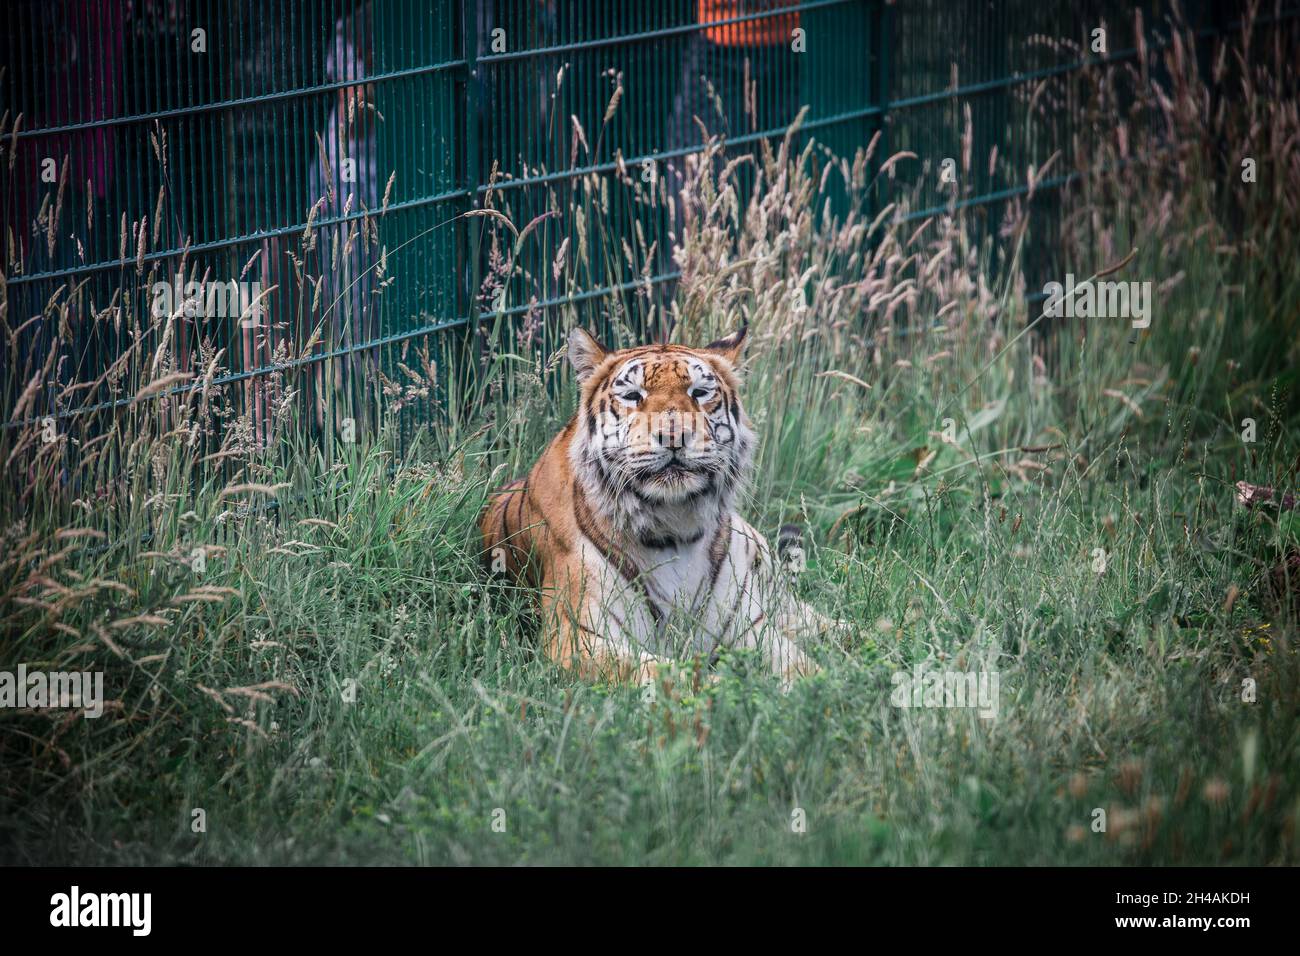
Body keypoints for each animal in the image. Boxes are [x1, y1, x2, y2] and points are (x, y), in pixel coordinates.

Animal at [480, 325, 832, 686]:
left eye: (700, 392)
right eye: (633, 395)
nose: (674, 435)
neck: (675, 524)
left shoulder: (753, 626)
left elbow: (808, 670)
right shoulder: (578, 639)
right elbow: (671, 675)